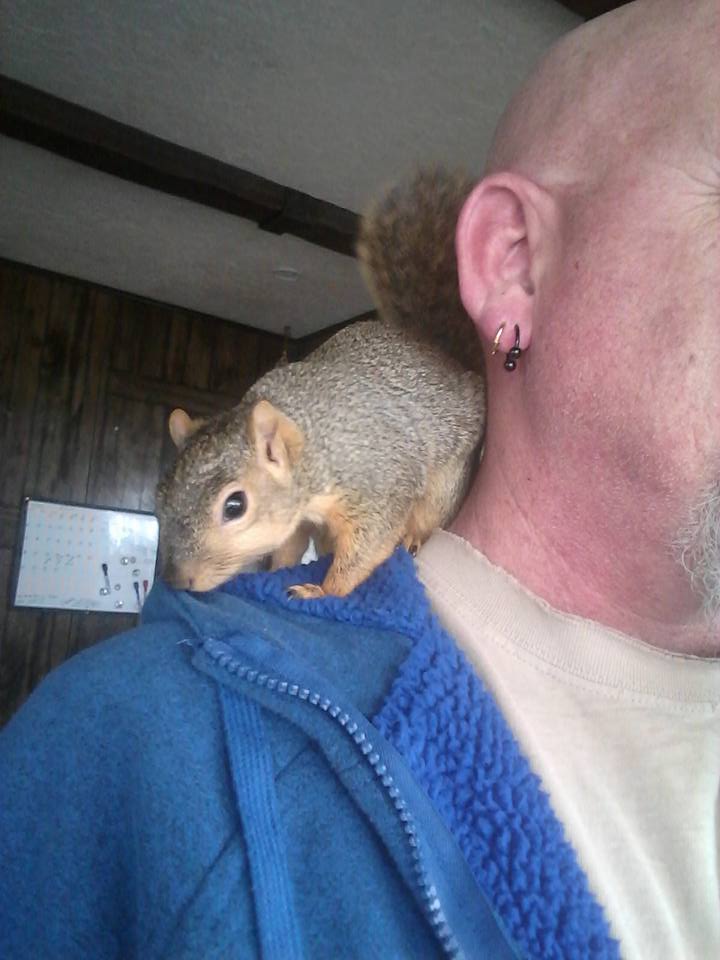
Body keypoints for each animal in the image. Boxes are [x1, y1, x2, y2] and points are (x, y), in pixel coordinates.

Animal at [155, 168, 484, 599]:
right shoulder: (300, 517)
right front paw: (276, 572)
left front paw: (323, 591)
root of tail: (446, 360)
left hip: (448, 477)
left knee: (431, 513)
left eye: (234, 506)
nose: (179, 580)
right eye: (159, 496)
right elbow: (289, 546)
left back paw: (415, 537)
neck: (311, 444)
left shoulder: (377, 483)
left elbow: (367, 545)